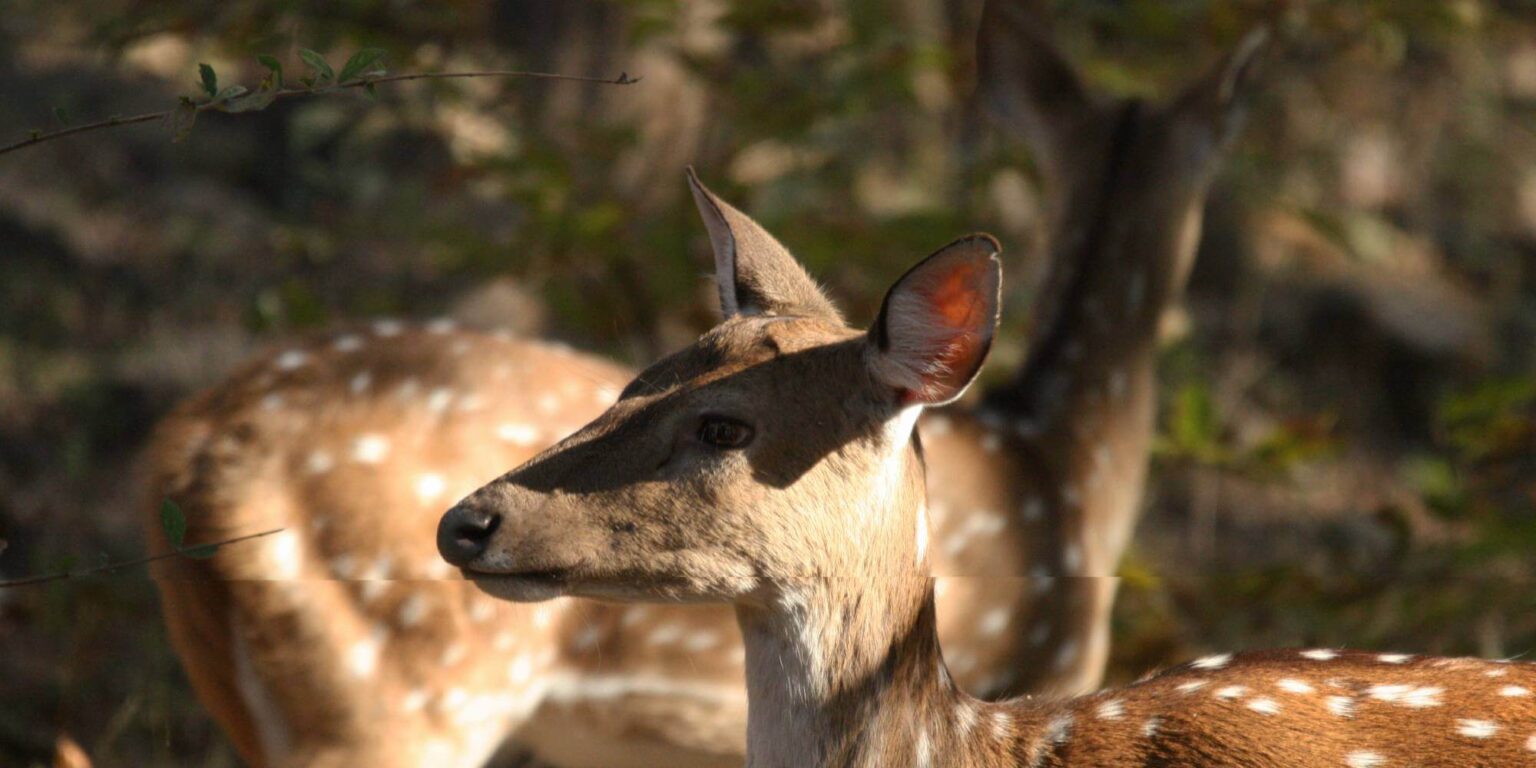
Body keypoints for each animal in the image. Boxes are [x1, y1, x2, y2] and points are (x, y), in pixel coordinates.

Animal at [143, 6, 1267, 765]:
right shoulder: (1046, 661)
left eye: (710, 416)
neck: (1070, 469)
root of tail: (190, 448)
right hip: (399, 702)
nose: (468, 522)